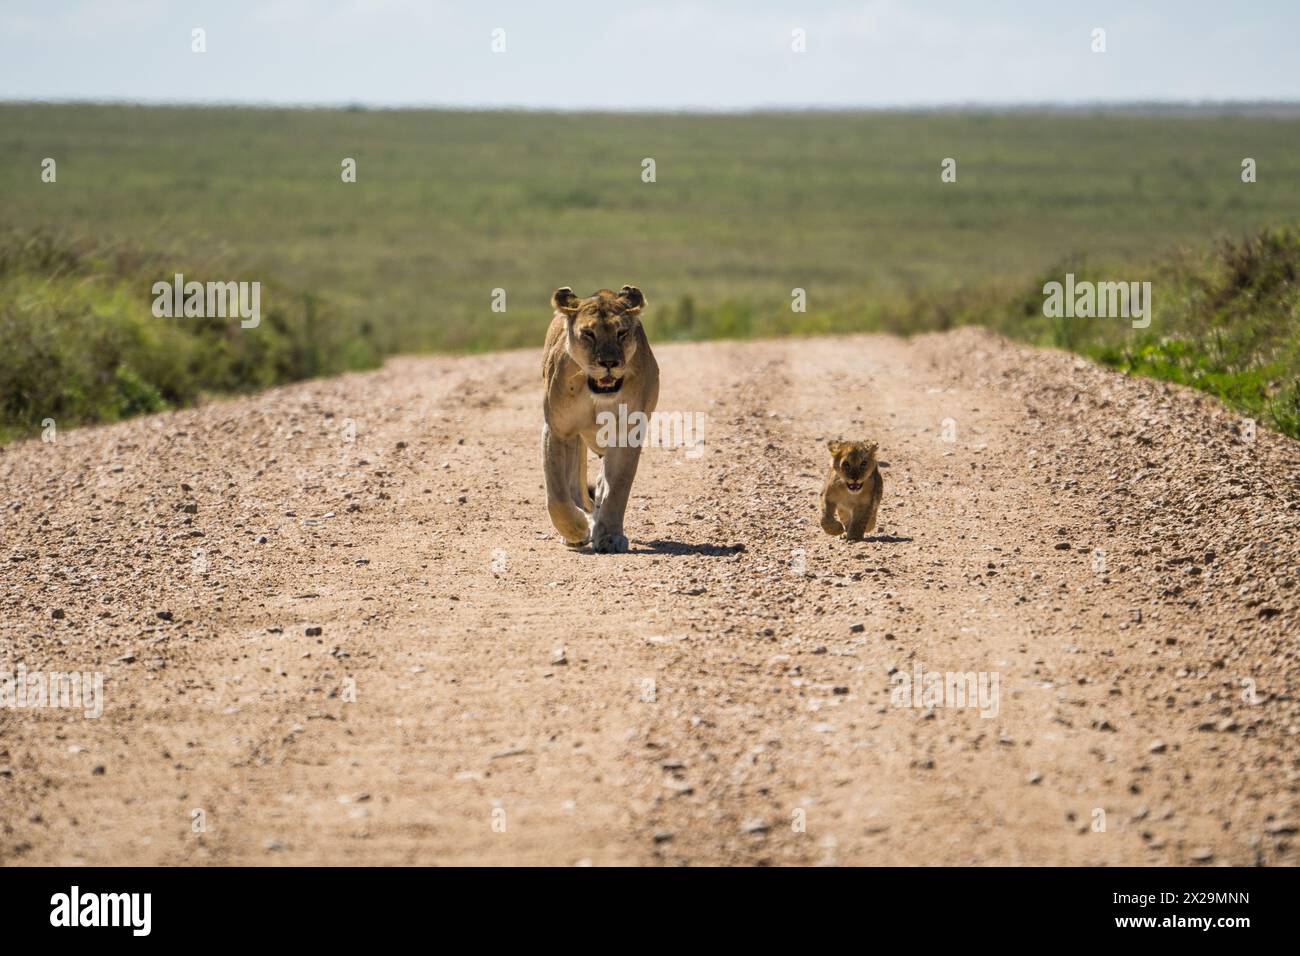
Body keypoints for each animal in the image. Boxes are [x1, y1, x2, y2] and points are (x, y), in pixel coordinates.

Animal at [542, 285, 659, 553]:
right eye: (588, 334)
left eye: (622, 333)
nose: (609, 363)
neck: (596, 394)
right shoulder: (558, 430)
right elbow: (557, 494)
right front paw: (576, 530)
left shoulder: (627, 434)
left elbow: (617, 488)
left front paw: (609, 536)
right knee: (573, 485)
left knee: (601, 483)